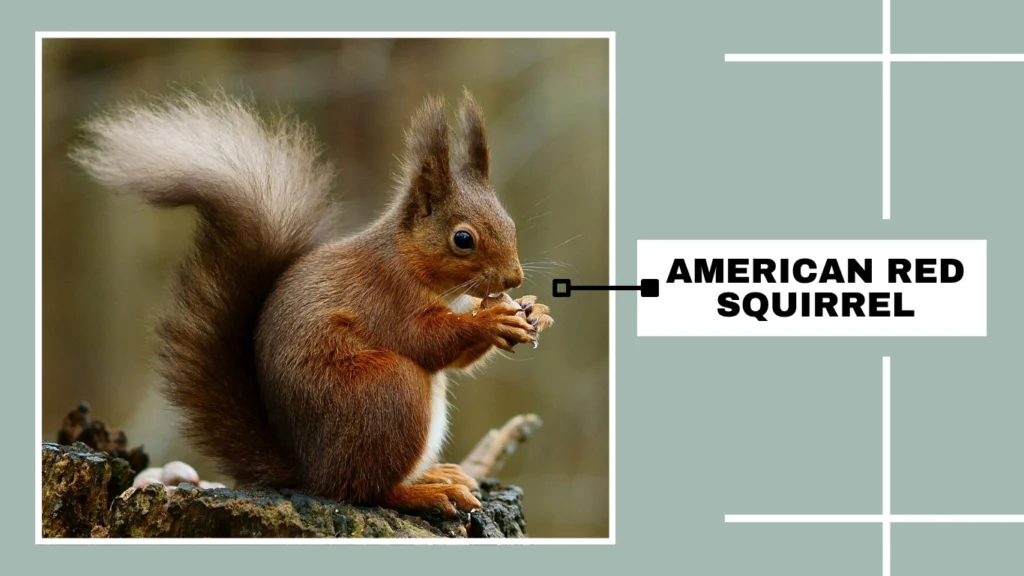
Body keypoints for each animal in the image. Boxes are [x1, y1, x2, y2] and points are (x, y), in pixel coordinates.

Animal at [69, 89, 554, 518]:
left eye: (510, 222)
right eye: (463, 239)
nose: (513, 278)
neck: (410, 262)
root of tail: (310, 473)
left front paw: (535, 311)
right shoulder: (385, 295)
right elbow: (426, 340)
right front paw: (492, 320)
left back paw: (436, 475)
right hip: (386, 390)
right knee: (365, 490)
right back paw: (425, 492)